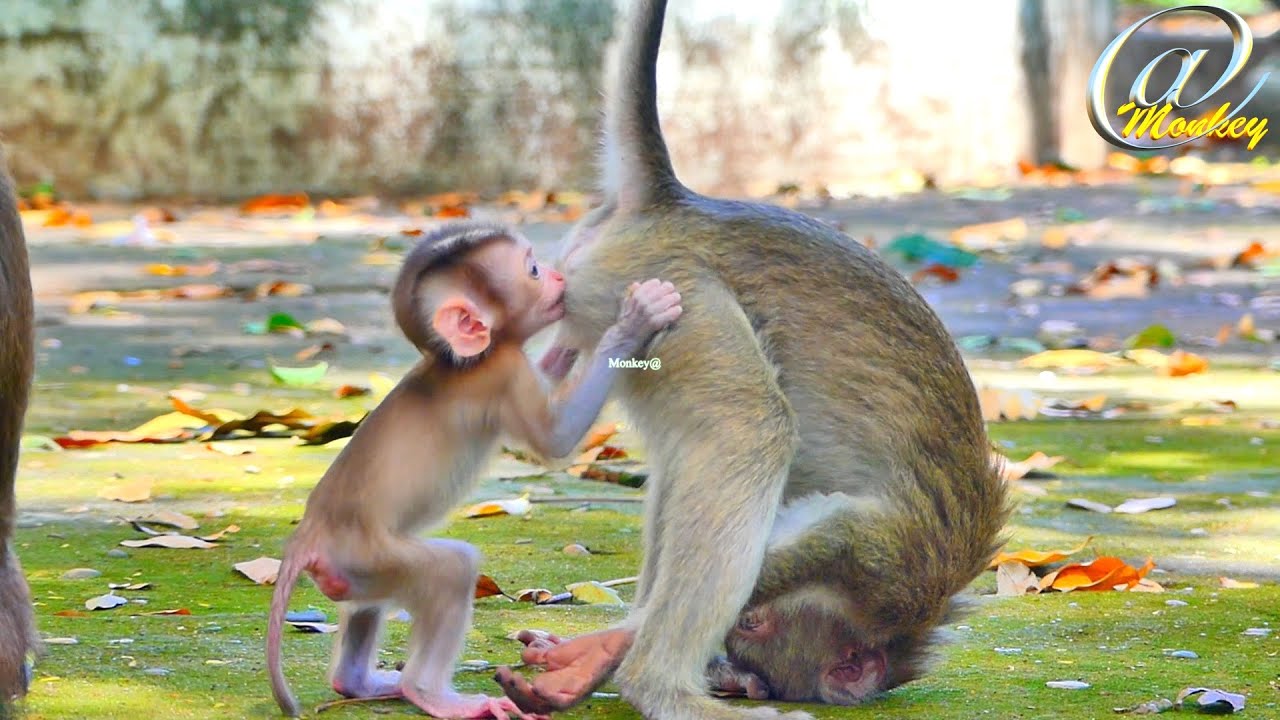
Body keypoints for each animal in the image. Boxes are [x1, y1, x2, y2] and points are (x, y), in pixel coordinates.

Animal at [266, 221, 682, 718]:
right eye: (533, 270)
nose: (559, 277)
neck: (461, 358)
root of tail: (309, 534)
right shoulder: (502, 369)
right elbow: (554, 439)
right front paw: (633, 321)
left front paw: (569, 343)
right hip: (368, 556)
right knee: (451, 570)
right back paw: (433, 695)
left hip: (357, 574)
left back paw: (358, 683)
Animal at [493, 1, 1010, 718]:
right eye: (752, 625)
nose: (738, 668)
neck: (905, 615)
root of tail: (675, 204)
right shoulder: (883, 562)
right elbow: (818, 535)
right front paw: (614, 649)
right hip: (672, 287)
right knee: (752, 427)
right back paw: (660, 685)